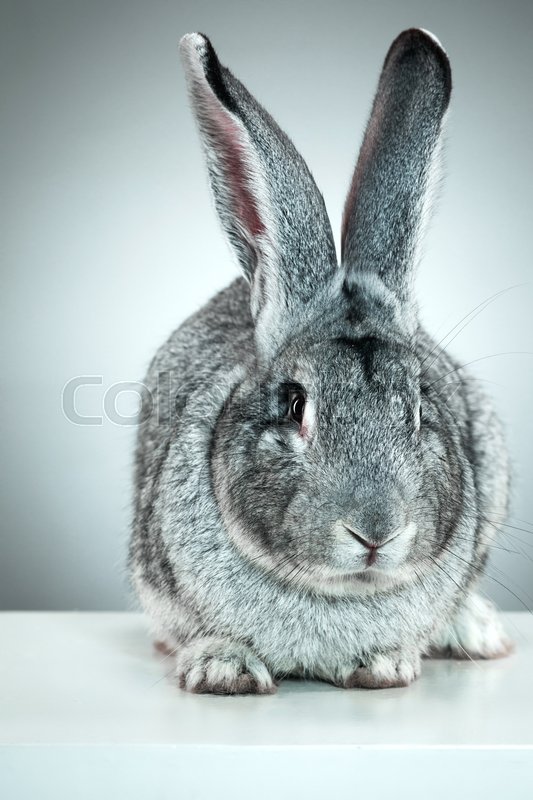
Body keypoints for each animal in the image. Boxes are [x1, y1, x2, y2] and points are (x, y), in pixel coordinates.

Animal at [129, 28, 513, 694]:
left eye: (421, 407)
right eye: (293, 404)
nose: (377, 532)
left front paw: (384, 664)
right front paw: (224, 669)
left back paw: (477, 633)